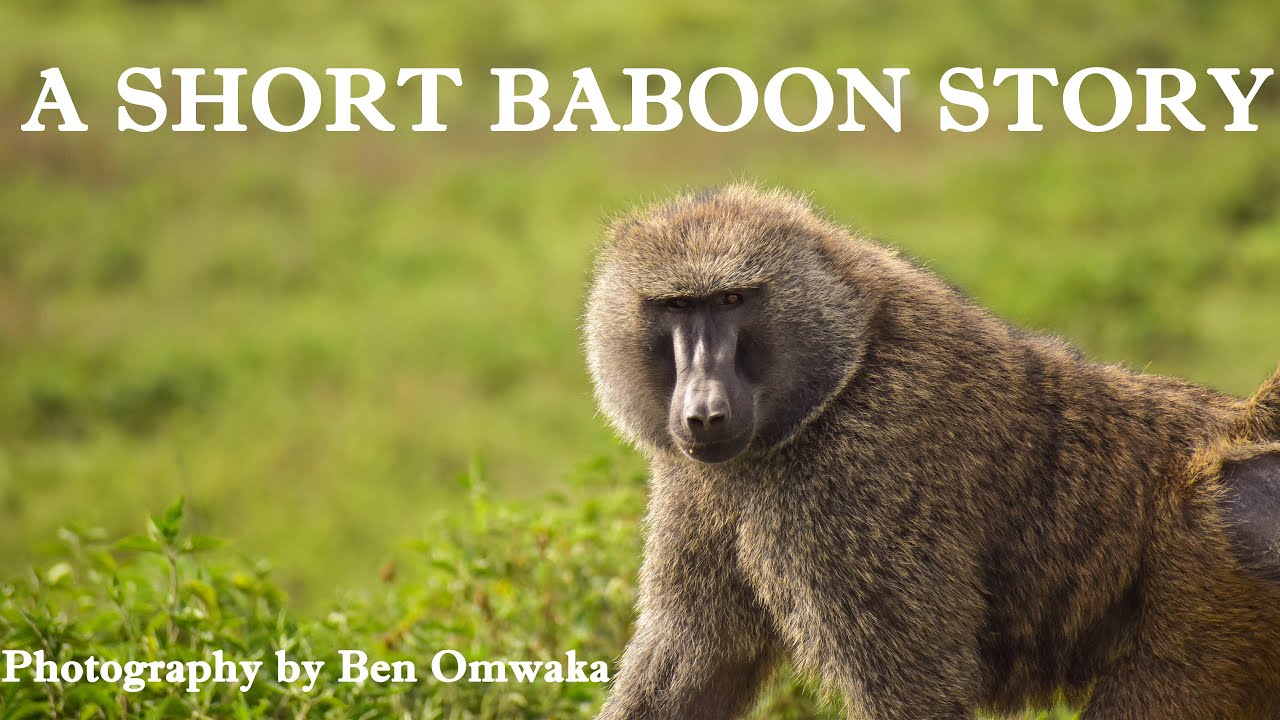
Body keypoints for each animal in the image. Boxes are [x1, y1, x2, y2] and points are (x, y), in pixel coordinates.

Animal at [582, 184, 1280, 720]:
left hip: (1213, 565)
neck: (845, 367)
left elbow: (914, 693)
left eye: (731, 299)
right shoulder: (698, 482)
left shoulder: (854, 483)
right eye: (677, 306)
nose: (703, 413)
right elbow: (698, 660)